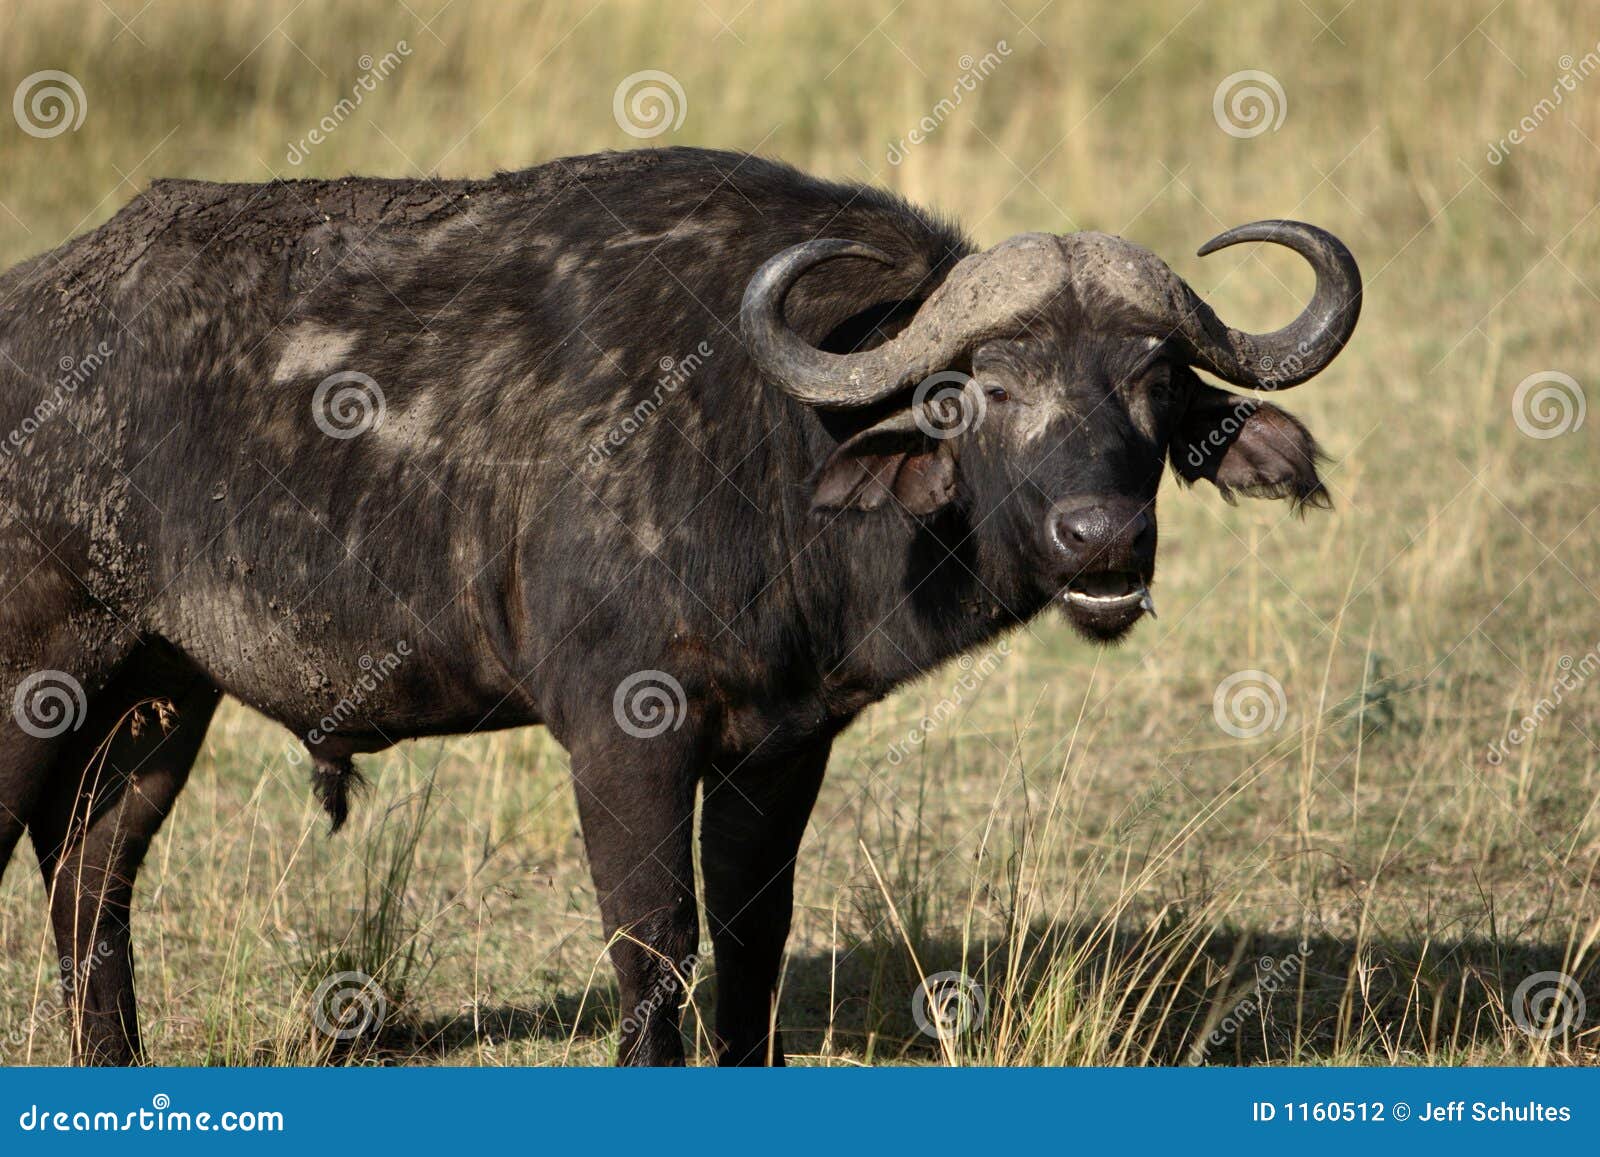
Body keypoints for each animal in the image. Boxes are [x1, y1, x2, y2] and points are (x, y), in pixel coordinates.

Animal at [0, 146, 1359, 1065]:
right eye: (986, 386)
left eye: (1154, 378)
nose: (1104, 536)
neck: (765, 435)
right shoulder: (623, 735)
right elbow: (655, 947)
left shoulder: (783, 743)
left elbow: (753, 938)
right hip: (34, 682)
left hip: (158, 693)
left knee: (88, 879)